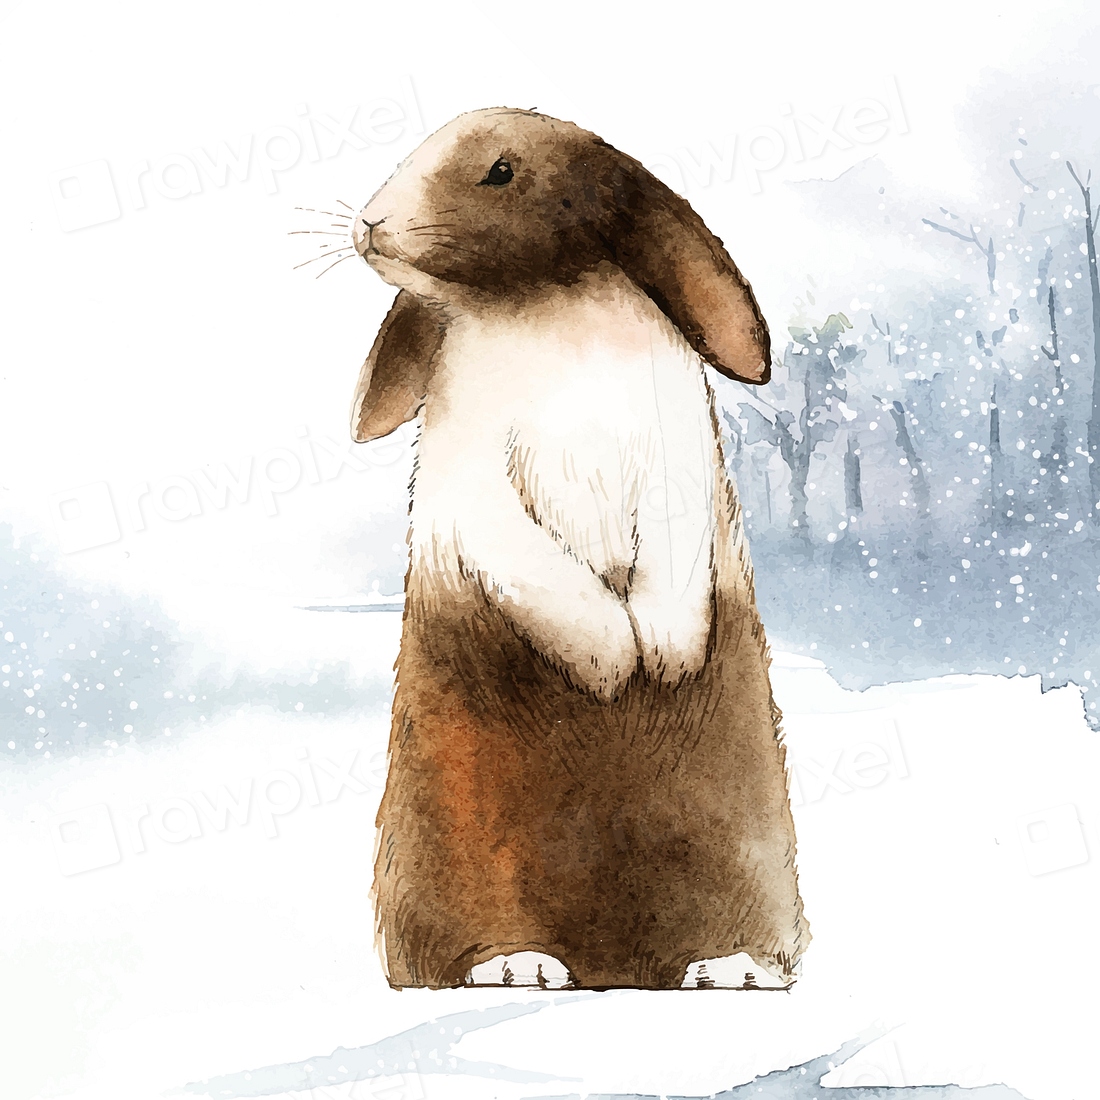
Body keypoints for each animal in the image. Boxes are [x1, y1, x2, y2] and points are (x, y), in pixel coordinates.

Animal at [344, 107, 808, 990]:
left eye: (501, 171)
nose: (369, 225)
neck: (550, 318)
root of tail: (616, 967)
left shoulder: (678, 454)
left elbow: (672, 540)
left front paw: (663, 654)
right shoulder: (469, 482)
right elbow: (524, 555)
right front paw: (609, 666)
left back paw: (732, 967)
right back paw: (517, 966)